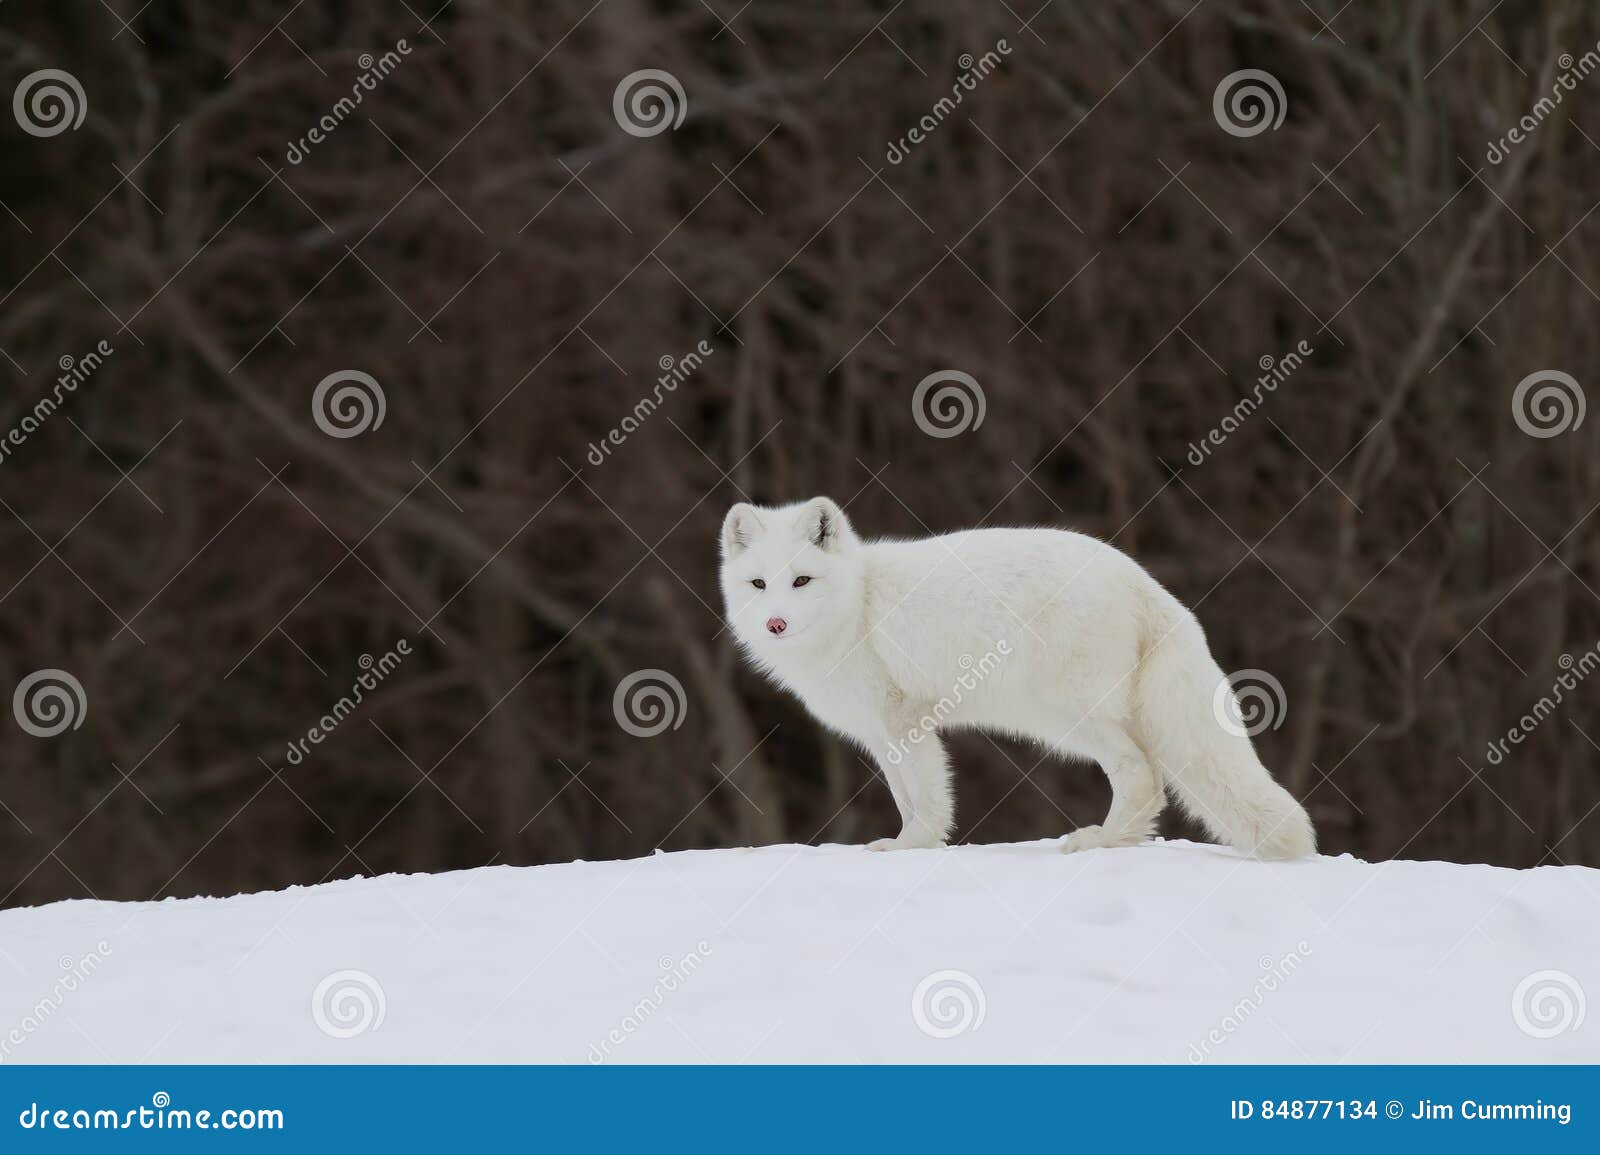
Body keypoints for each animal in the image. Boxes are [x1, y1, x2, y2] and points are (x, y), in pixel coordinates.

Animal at [718, 496, 1316, 858]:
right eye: (758, 584)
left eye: (801, 580)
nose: (775, 623)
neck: (857, 606)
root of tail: (1144, 583)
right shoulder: (880, 735)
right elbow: (906, 796)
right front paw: (911, 847)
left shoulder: (906, 721)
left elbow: (926, 800)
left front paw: (911, 847)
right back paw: (1117, 840)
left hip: (1065, 716)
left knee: (1141, 773)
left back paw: (1099, 841)